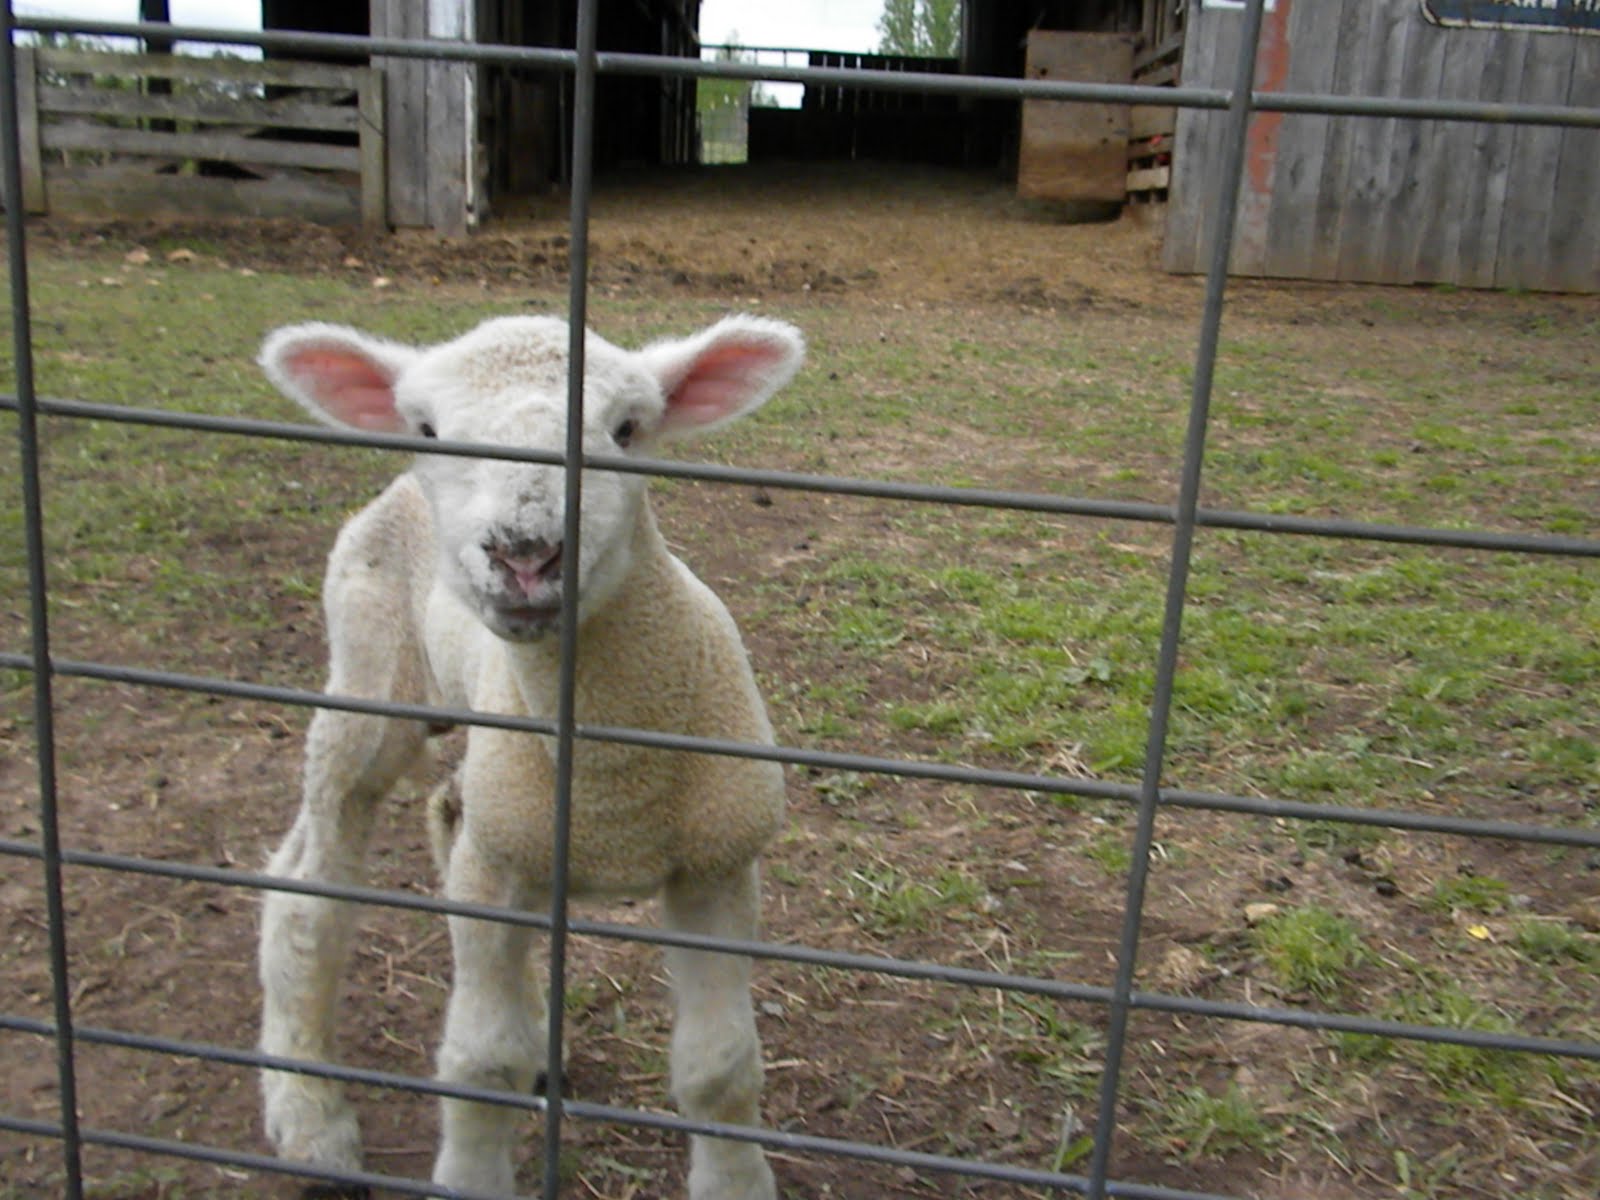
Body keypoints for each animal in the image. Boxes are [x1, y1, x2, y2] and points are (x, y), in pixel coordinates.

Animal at [254, 312, 804, 1200]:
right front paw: (473, 1171)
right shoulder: (501, 864)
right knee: (308, 890)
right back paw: (309, 1118)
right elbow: (483, 1065)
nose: (523, 554)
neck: (616, 776)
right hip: (370, 673)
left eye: (627, 429)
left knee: (446, 816)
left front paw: (735, 1183)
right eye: (427, 429)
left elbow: (720, 1070)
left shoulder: (716, 866)